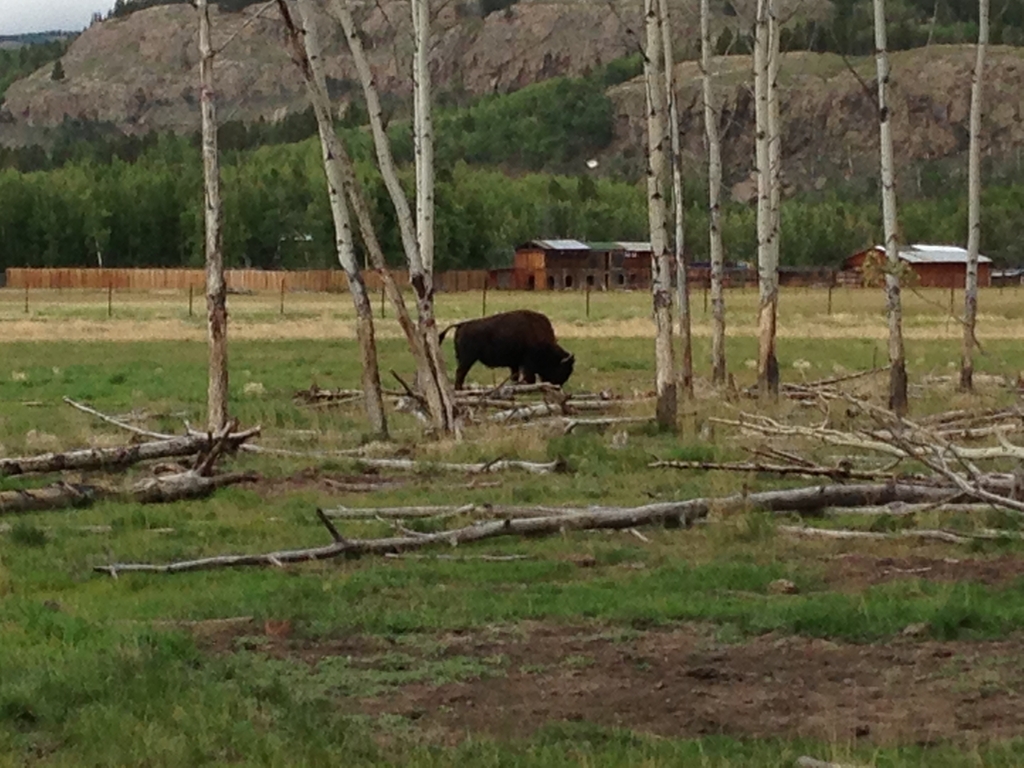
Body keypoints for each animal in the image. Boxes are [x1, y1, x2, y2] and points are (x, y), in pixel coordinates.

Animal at [438, 309, 575, 390]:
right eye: (564, 369)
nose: (559, 386)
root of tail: (461, 324)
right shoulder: (528, 364)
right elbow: (530, 378)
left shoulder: (515, 364)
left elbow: (515, 376)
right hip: (468, 359)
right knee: (460, 373)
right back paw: (459, 389)